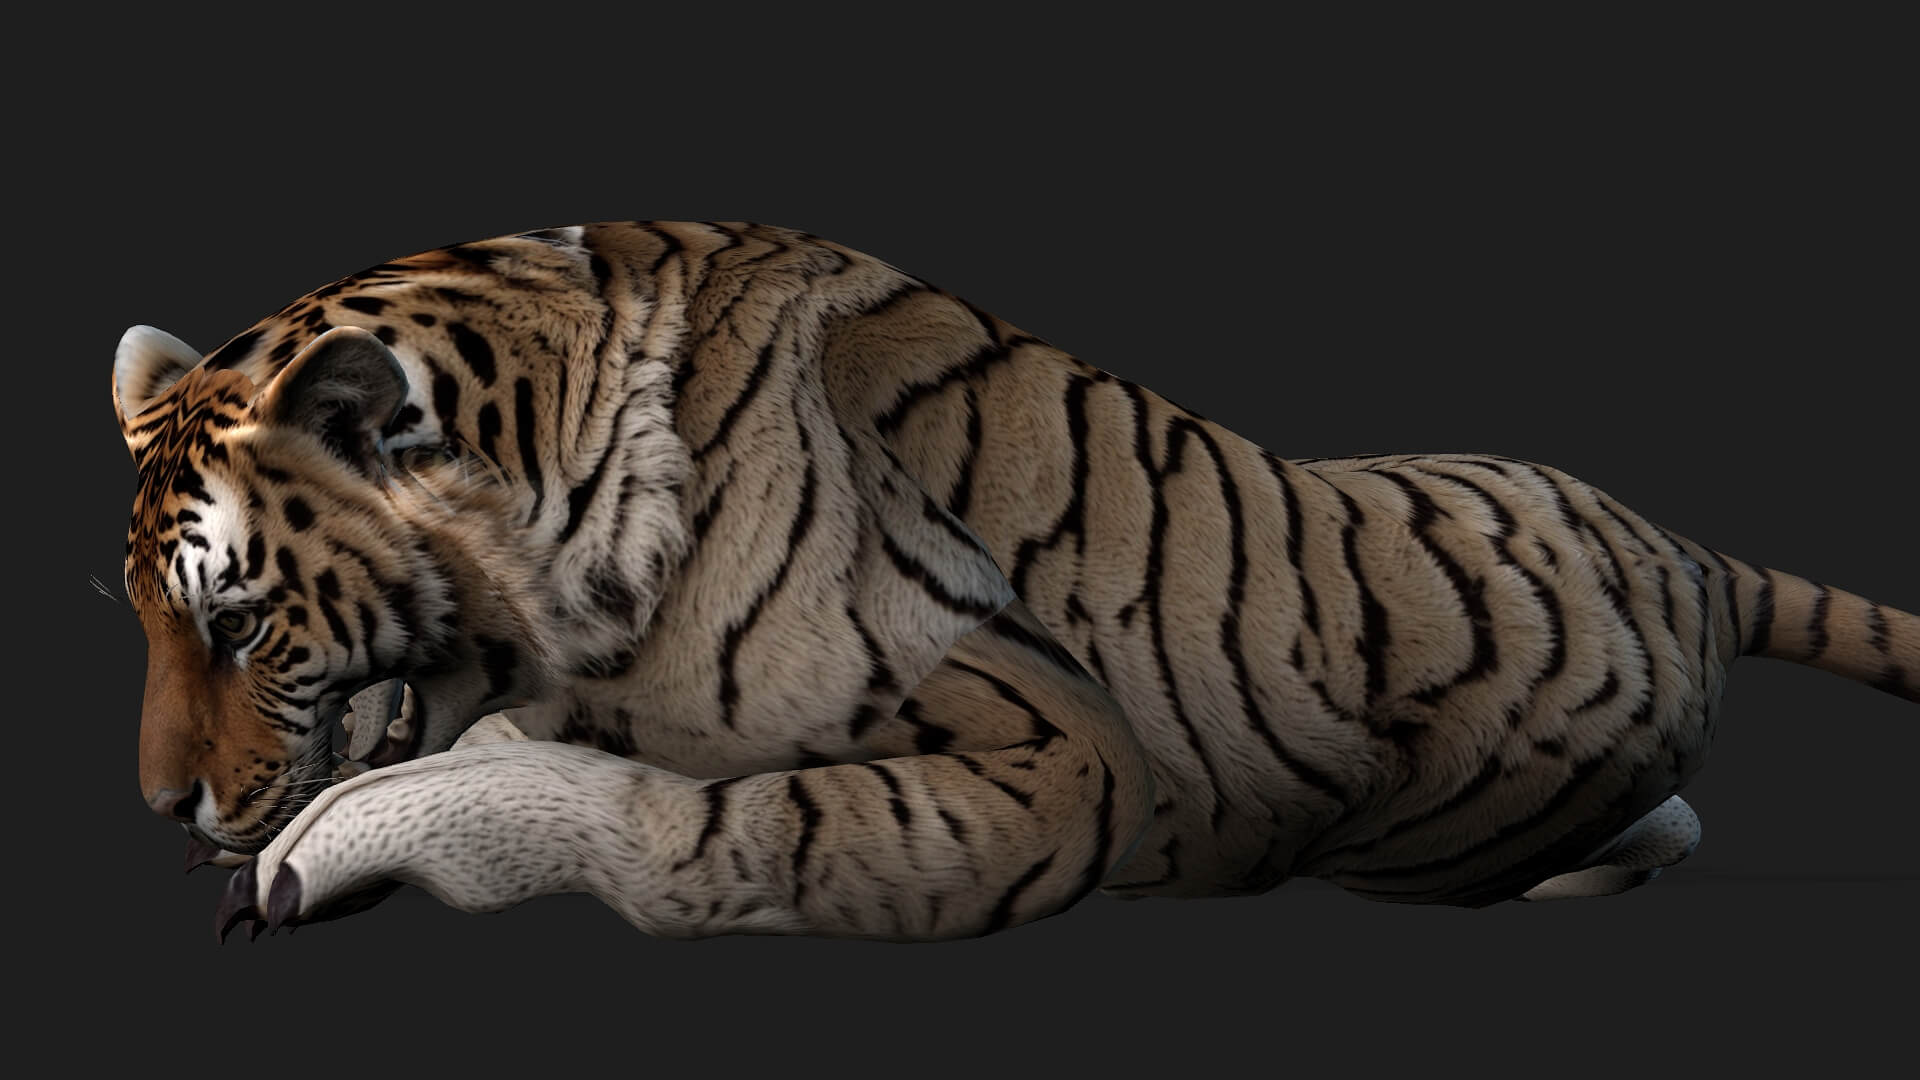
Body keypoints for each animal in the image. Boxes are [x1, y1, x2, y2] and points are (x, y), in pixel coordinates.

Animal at [109, 221, 1918, 942]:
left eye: (245, 623)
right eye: (140, 616)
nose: (160, 813)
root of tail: (1684, 551)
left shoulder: (1062, 765)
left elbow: (698, 824)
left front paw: (358, 842)